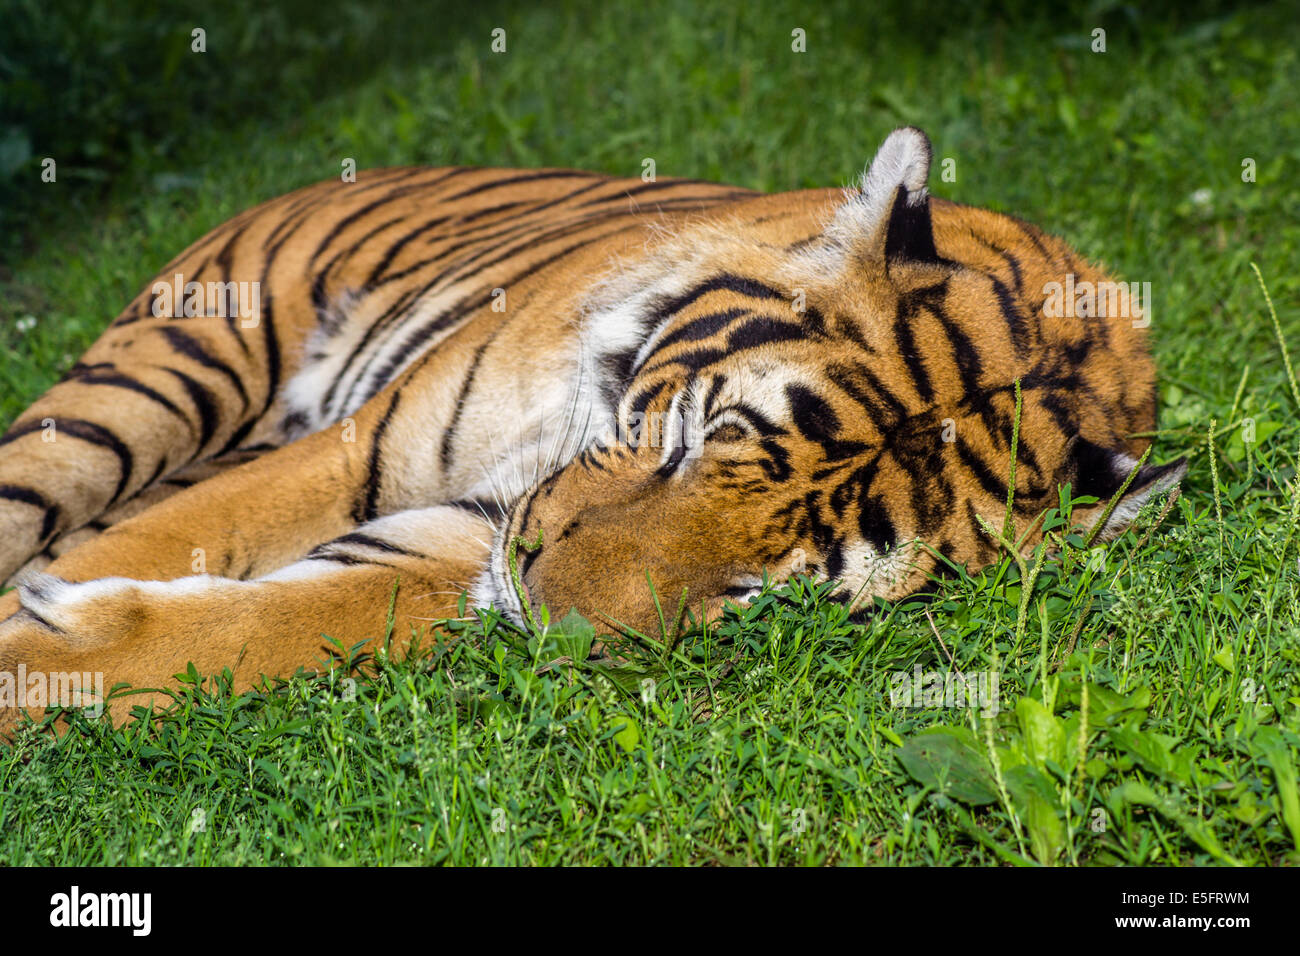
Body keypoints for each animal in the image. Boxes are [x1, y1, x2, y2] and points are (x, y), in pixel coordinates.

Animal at [0, 127, 1184, 731]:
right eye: (691, 437)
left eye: (758, 590)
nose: (544, 615)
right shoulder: (360, 451)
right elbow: (162, 544)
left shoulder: (464, 535)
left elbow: (255, 626)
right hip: (159, 378)